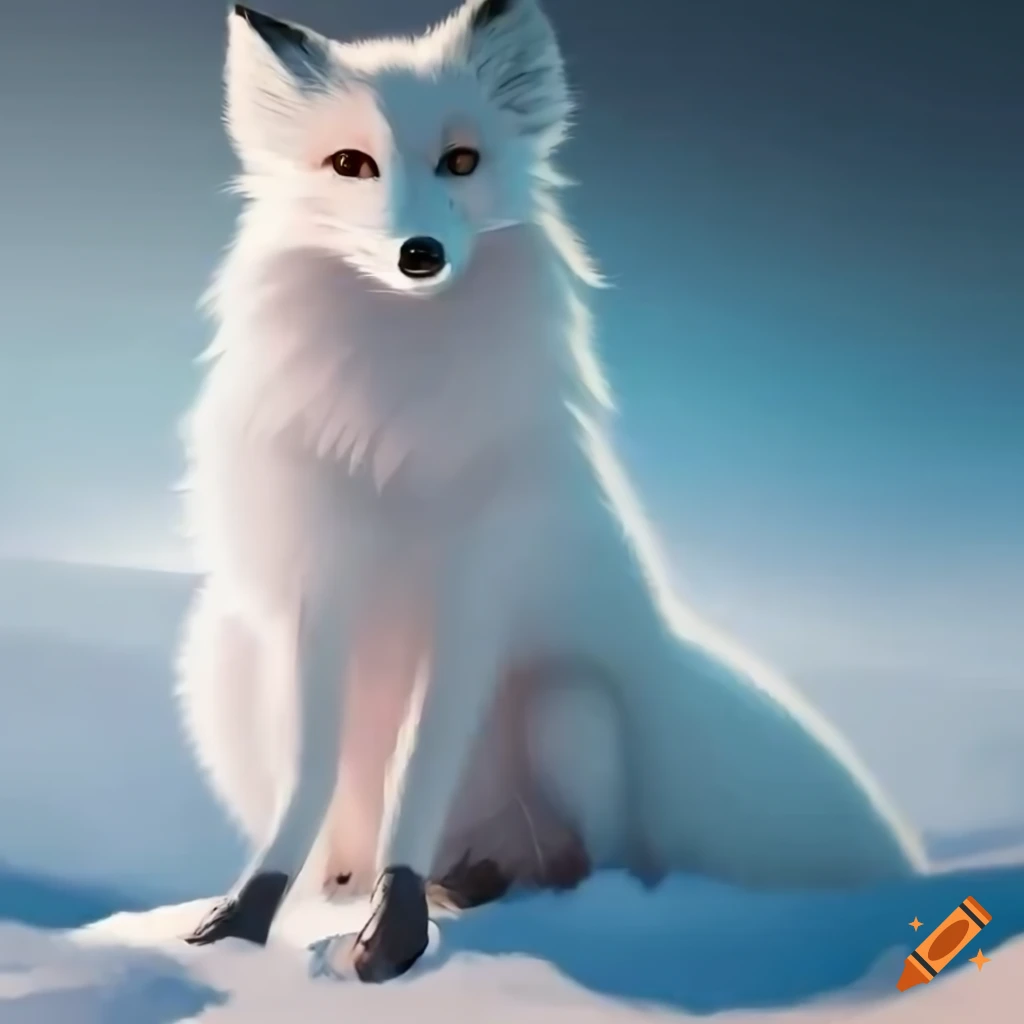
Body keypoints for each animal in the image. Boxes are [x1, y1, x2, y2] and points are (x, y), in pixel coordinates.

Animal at [175, 0, 926, 982]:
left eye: (462, 161)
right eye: (352, 163)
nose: (420, 254)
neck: (391, 422)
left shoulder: (471, 608)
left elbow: (417, 776)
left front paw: (396, 933)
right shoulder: (316, 601)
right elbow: (309, 780)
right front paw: (247, 919)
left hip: (571, 710)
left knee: (587, 866)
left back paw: (488, 886)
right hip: (221, 656)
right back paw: (388, 884)